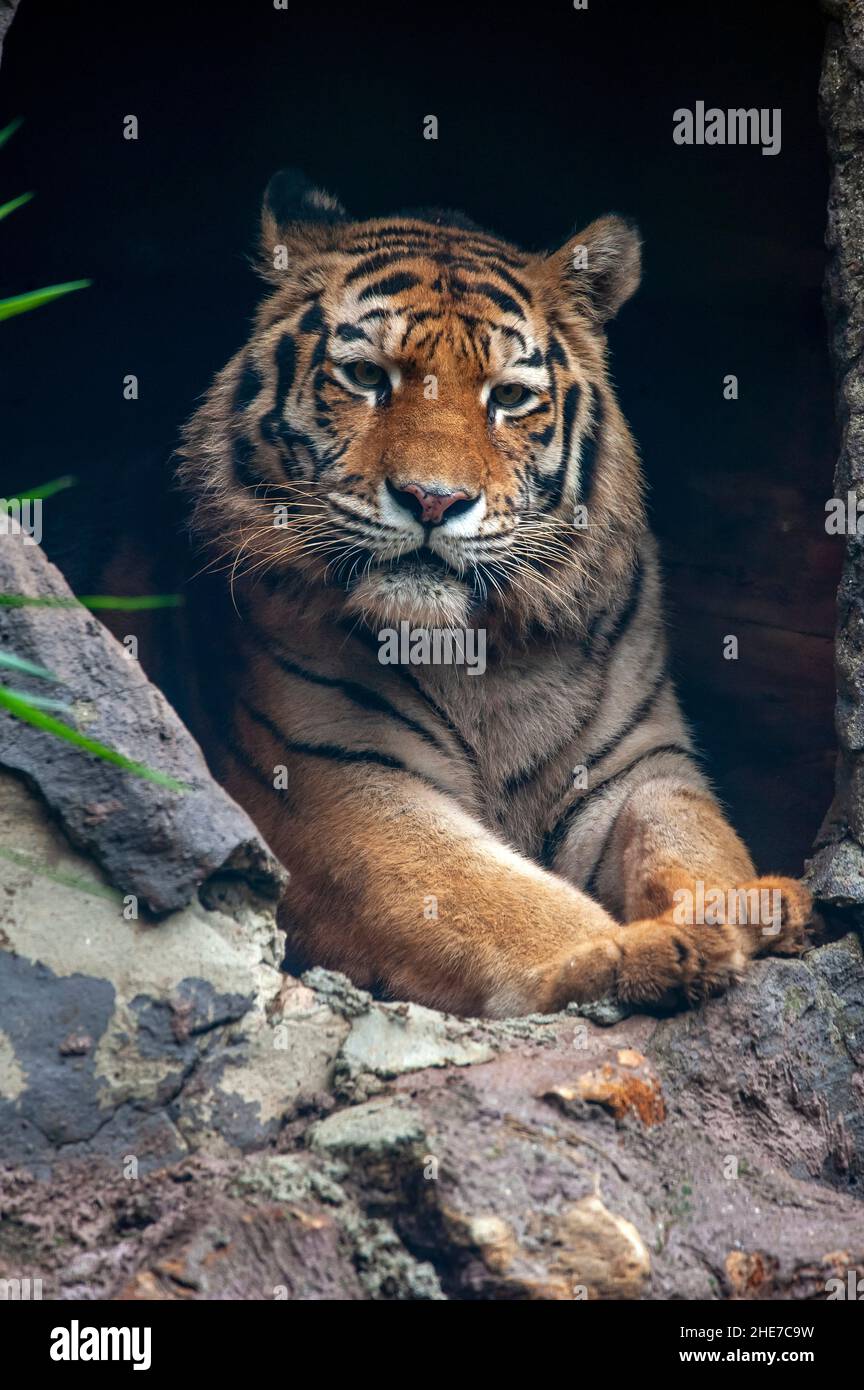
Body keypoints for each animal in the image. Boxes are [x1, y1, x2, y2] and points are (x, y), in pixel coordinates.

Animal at [177, 169, 812, 1018]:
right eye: (368, 377)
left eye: (508, 397)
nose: (433, 499)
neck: (485, 656)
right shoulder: (330, 777)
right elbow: (492, 895)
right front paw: (639, 952)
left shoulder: (637, 768)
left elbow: (690, 836)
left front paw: (757, 910)